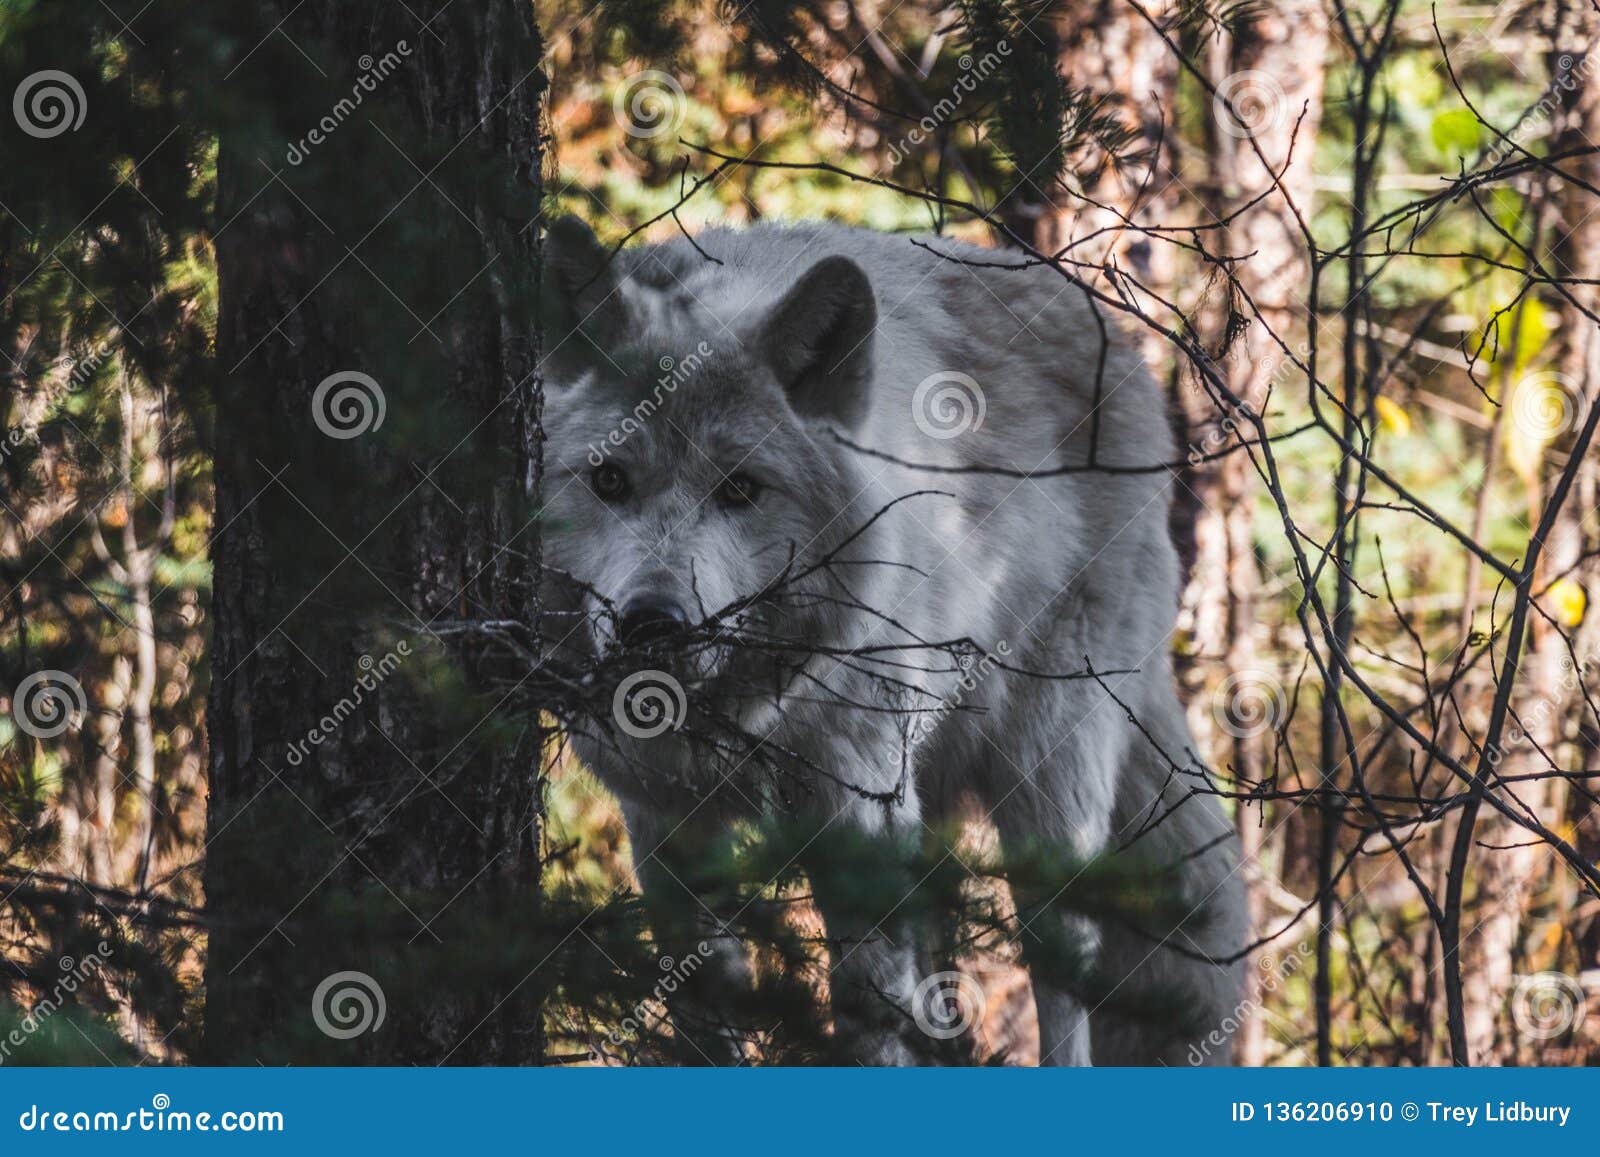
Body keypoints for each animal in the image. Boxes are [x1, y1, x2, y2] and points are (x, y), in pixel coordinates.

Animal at [537, 216, 1247, 1066]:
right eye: (609, 480)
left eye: (740, 489)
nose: (652, 621)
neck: (744, 714)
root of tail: (1125, 346)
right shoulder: (665, 827)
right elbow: (703, 1013)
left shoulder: (860, 820)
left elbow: (870, 1020)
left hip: (1046, 790)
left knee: (1065, 986)